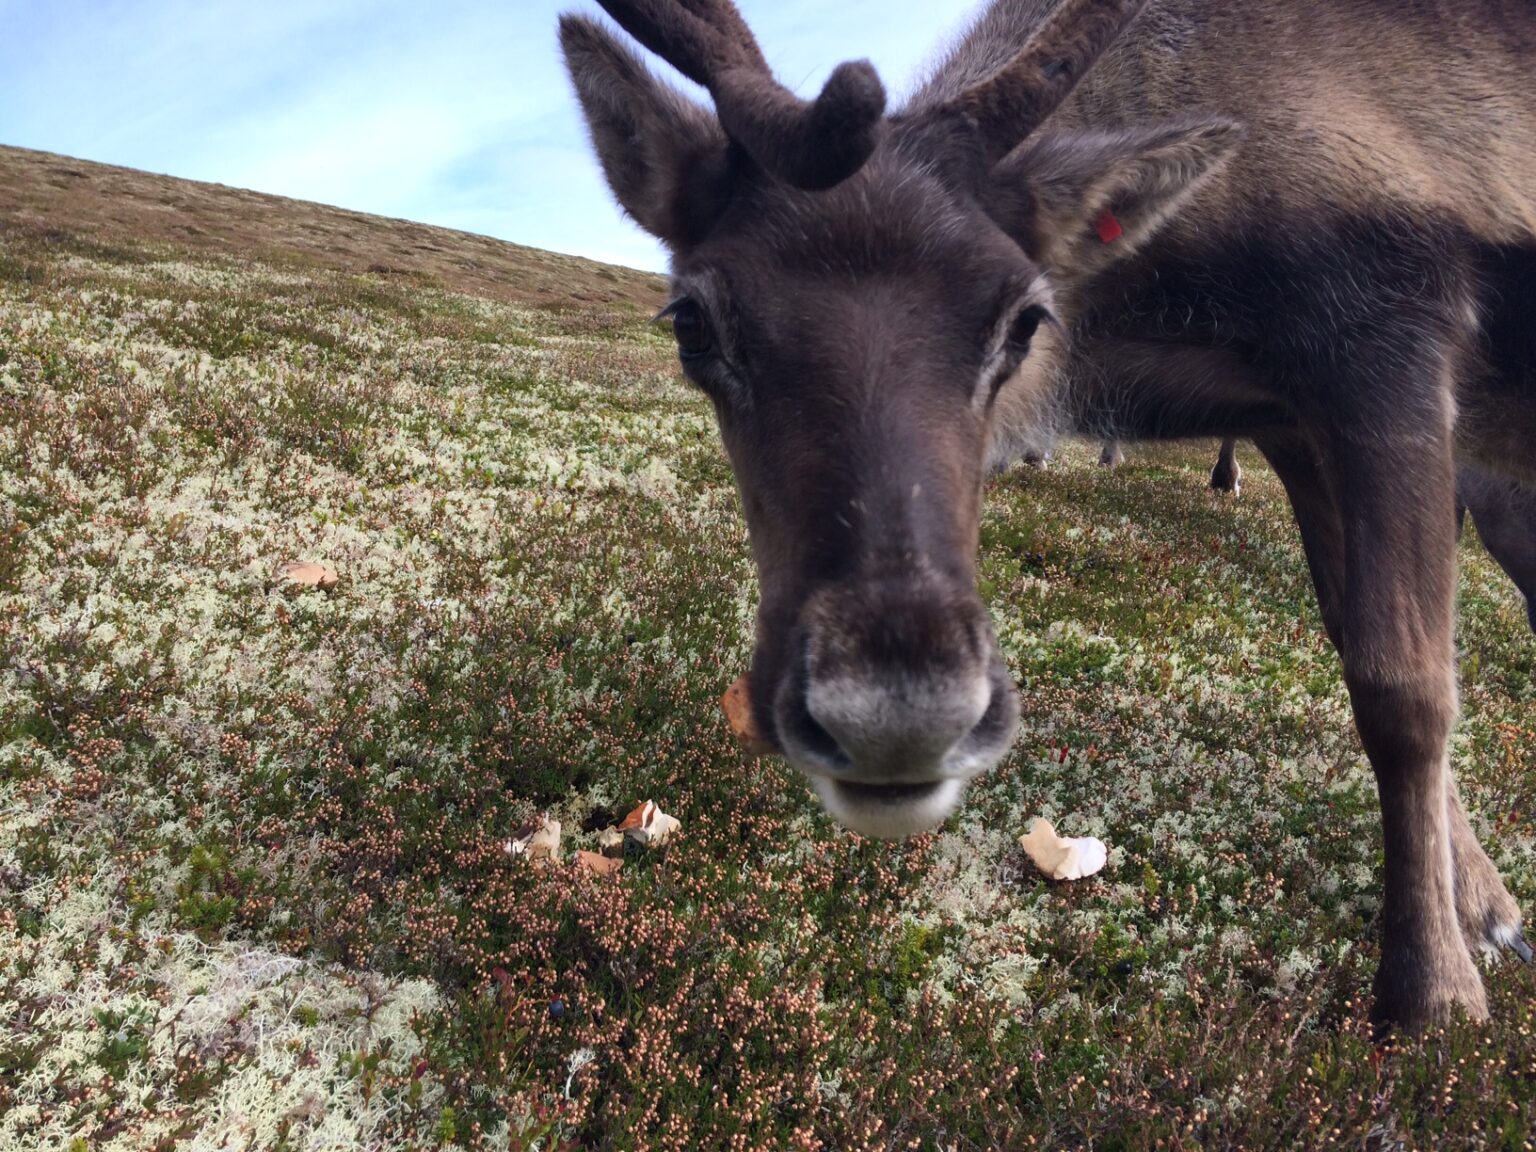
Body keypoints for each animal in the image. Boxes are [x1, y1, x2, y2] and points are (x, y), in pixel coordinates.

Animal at [558, 0, 1536, 1030]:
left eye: (1024, 319)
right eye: (692, 321)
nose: (896, 718)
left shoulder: (1389, 334)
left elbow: (1406, 683)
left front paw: (1433, 987)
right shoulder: (1289, 418)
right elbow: (1361, 641)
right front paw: (1482, 904)